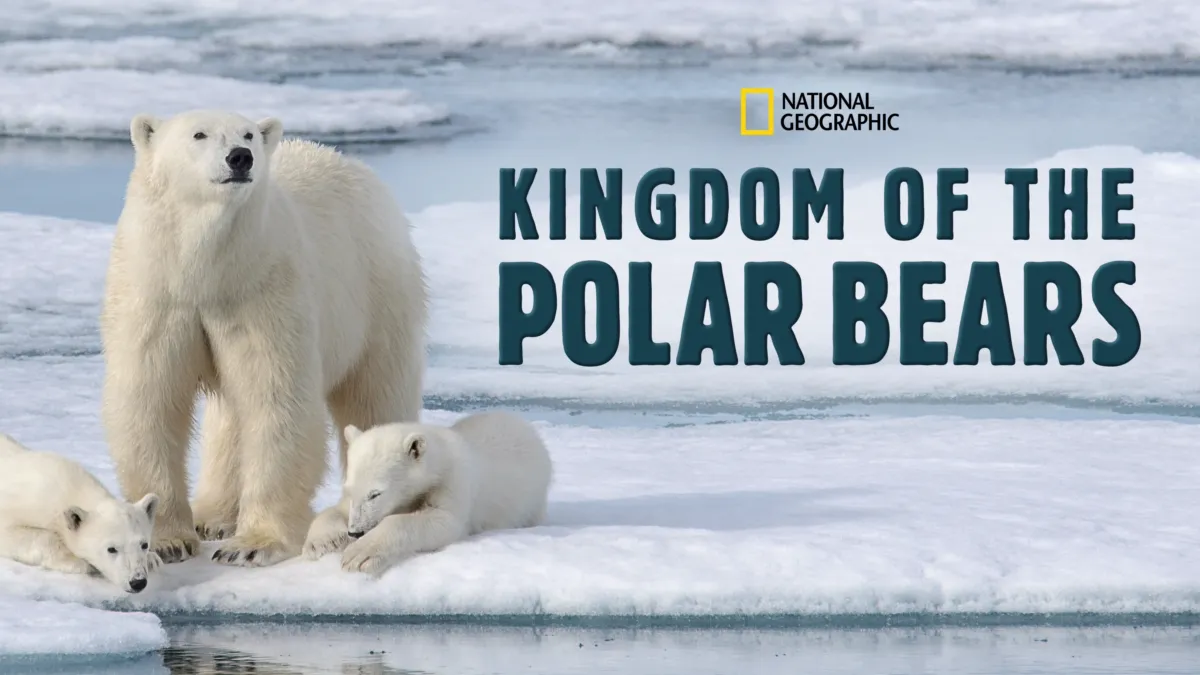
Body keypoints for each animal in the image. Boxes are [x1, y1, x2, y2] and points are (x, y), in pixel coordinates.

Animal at [100, 109, 427, 568]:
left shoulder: (263, 291)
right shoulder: (158, 296)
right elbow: (151, 398)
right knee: (228, 420)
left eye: (248, 133)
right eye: (198, 134)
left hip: (378, 295)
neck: (207, 272)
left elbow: (275, 400)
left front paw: (253, 544)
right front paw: (167, 541)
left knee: (374, 394)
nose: (240, 157)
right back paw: (213, 516)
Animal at [303, 411, 553, 576]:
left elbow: (441, 521)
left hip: (532, 498)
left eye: (376, 494)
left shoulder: (453, 482)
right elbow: (334, 510)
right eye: (349, 489)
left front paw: (359, 554)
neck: (439, 459)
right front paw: (322, 542)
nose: (355, 531)